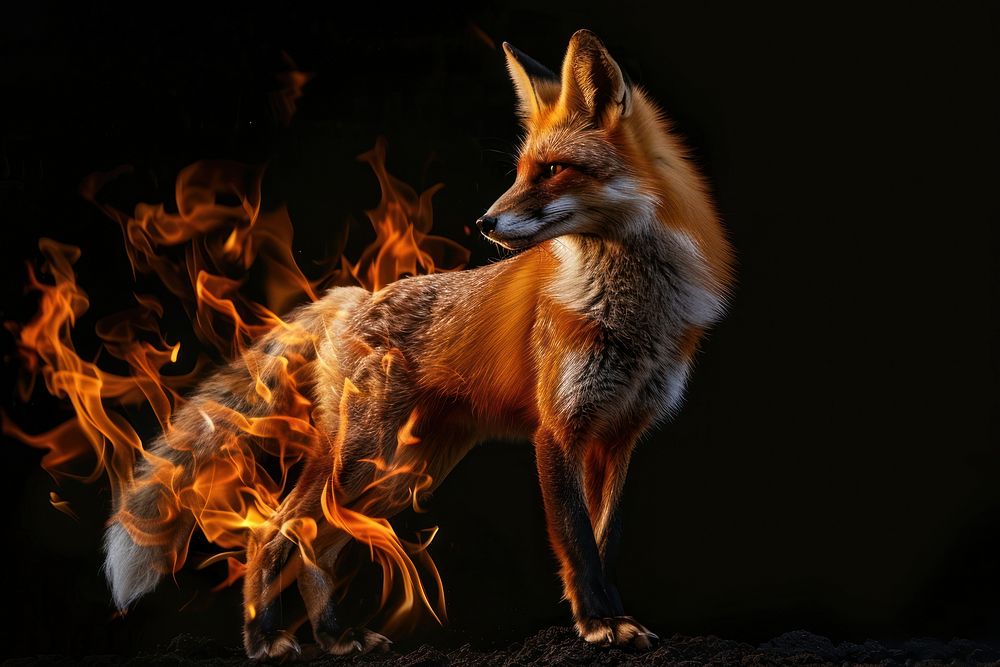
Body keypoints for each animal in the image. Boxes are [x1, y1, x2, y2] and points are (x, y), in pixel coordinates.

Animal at [103, 29, 734, 658]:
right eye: (521, 172)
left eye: (553, 169)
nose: (484, 223)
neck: (633, 312)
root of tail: (355, 296)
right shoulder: (559, 430)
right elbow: (578, 544)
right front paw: (600, 623)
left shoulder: (621, 435)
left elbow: (605, 540)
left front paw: (606, 618)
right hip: (367, 461)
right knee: (273, 530)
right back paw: (264, 639)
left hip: (401, 474)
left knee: (316, 546)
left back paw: (334, 636)